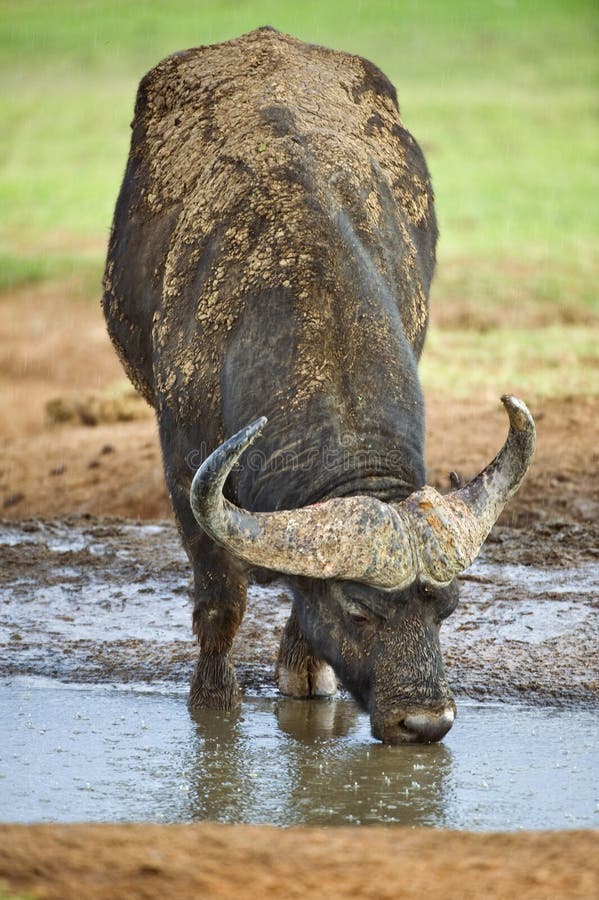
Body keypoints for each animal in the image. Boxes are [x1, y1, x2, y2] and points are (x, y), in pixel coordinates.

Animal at [103, 27, 535, 743]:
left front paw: (305, 669)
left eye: (446, 608)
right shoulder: (182, 464)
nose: (426, 722)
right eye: (360, 611)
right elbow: (220, 598)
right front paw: (213, 700)